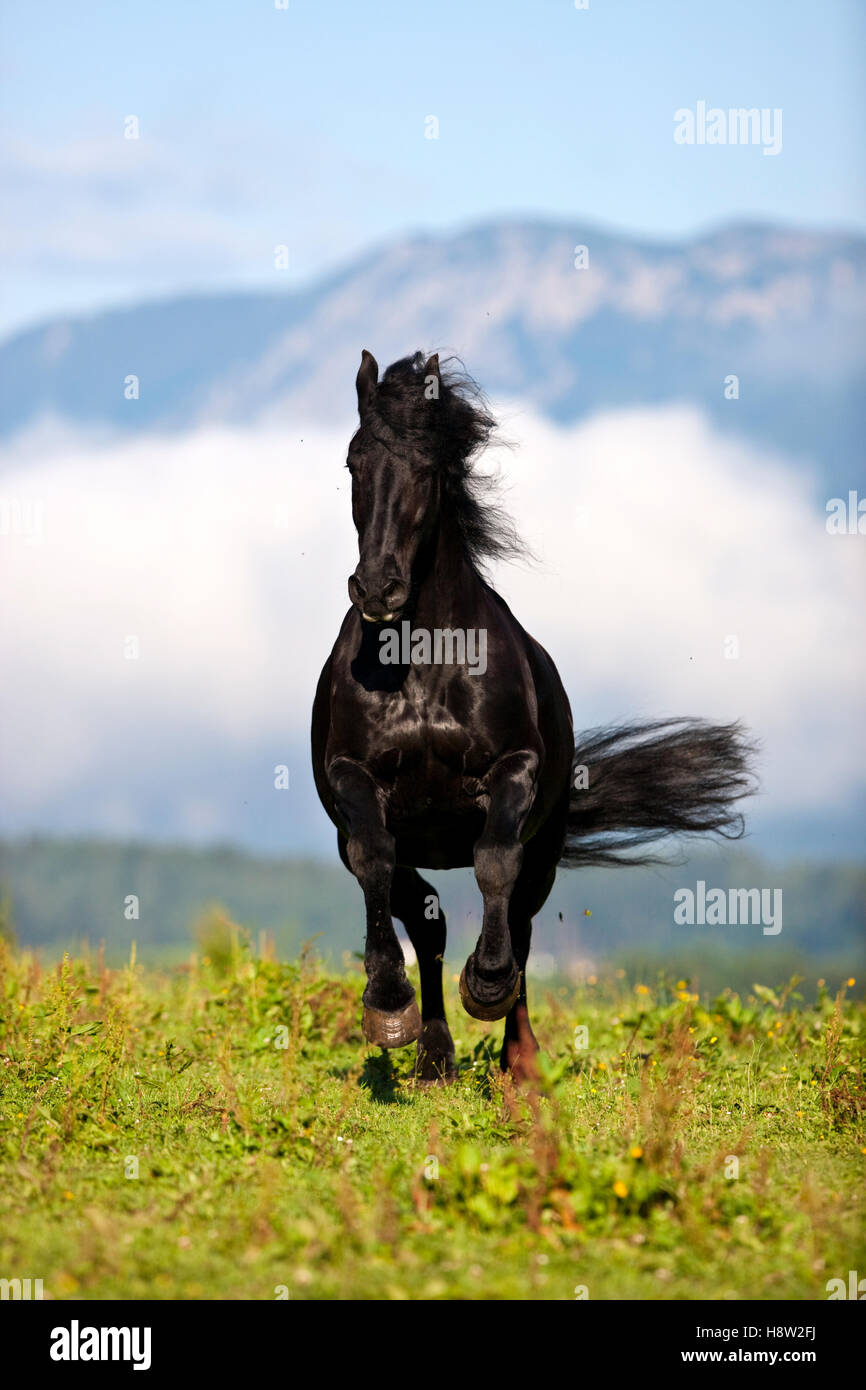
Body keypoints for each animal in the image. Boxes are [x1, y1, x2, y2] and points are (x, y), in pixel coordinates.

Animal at [310, 350, 754, 1082]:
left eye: (427, 467)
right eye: (353, 461)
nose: (377, 588)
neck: (420, 662)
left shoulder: (513, 772)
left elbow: (495, 866)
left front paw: (486, 988)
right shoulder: (354, 782)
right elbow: (377, 860)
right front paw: (387, 1005)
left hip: (544, 847)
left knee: (515, 918)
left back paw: (519, 1056)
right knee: (425, 917)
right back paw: (434, 1055)